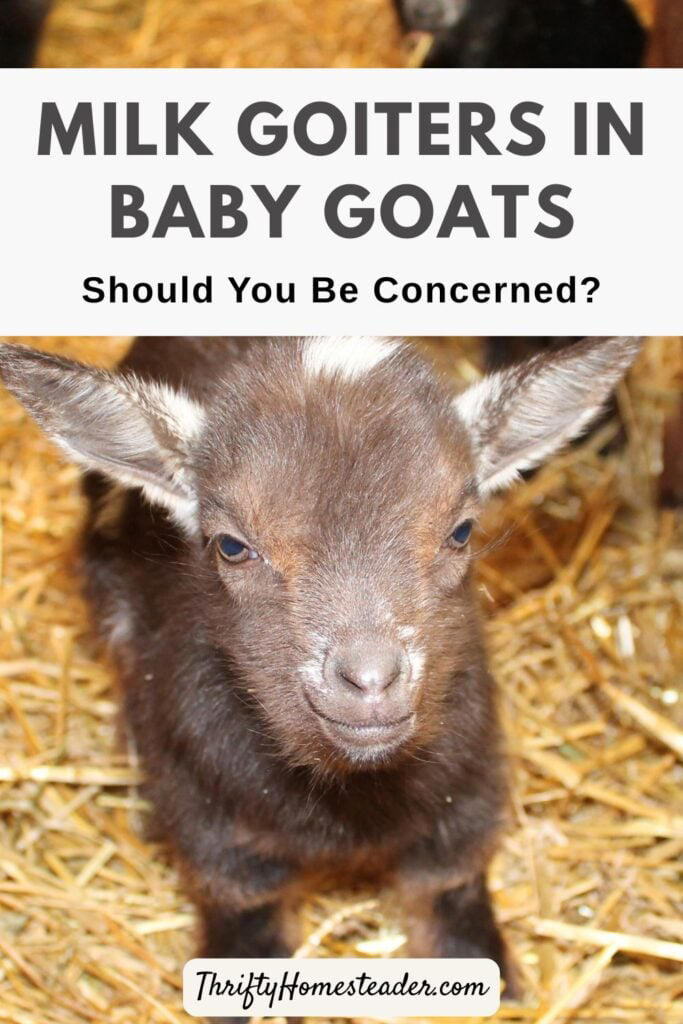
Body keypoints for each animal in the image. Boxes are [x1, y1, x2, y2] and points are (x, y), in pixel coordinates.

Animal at [0, 336, 640, 1015]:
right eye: (230, 546)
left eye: (462, 530)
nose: (371, 679)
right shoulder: (199, 804)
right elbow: (242, 903)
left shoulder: (472, 779)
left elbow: (453, 882)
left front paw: (489, 969)